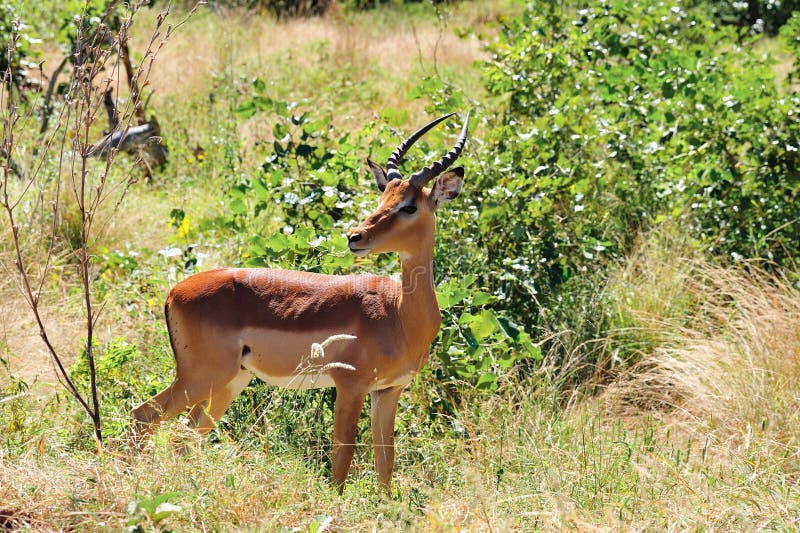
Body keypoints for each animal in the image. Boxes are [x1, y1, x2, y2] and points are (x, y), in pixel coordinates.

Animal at [131, 112, 469, 492]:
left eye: (409, 206)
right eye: (383, 200)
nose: (355, 237)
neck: (399, 313)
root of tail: (175, 291)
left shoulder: (388, 391)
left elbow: (385, 464)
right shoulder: (350, 386)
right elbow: (341, 459)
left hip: (230, 381)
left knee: (185, 437)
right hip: (201, 377)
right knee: (143, 417)